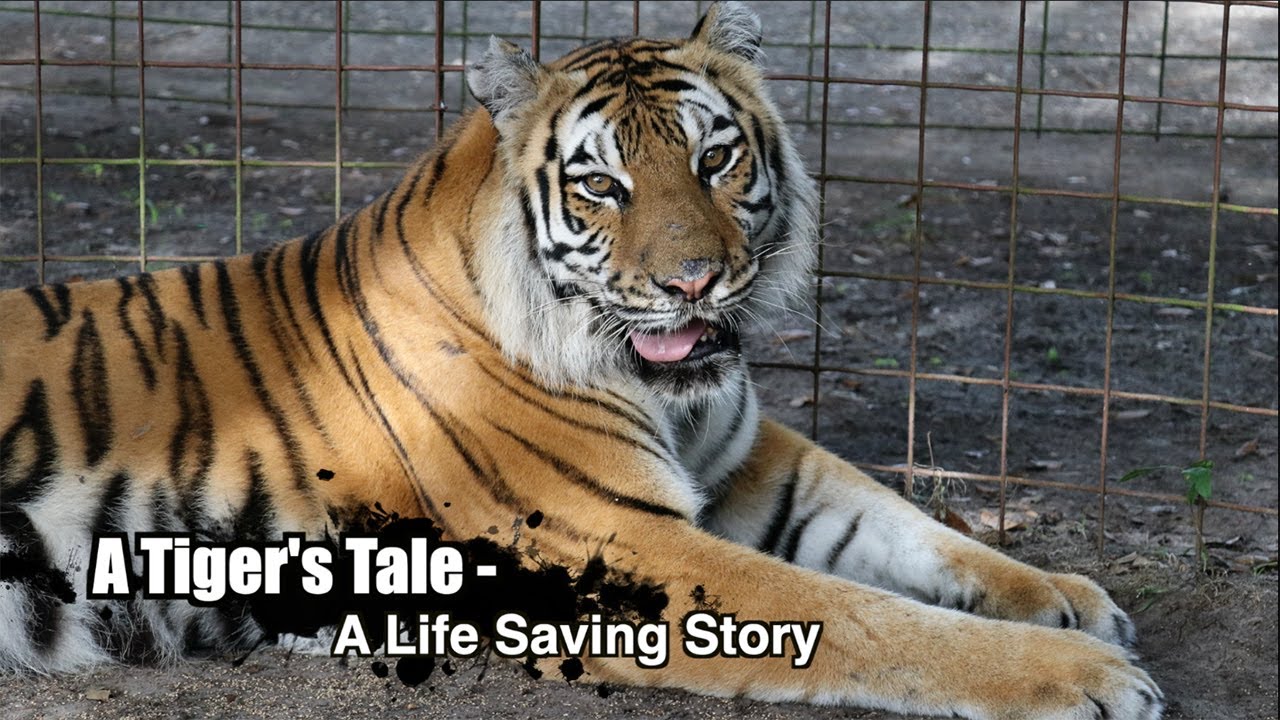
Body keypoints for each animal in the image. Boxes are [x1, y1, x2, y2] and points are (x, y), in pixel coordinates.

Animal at [0, 3, 1163, 718]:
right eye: (602, 186)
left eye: (714, 157)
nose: (694, 282)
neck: (663, 389)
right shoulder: (616, 544)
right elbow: (857, 614)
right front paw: (1084, 674)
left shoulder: (752, 465)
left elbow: (905, 527)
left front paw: (1064, 595)